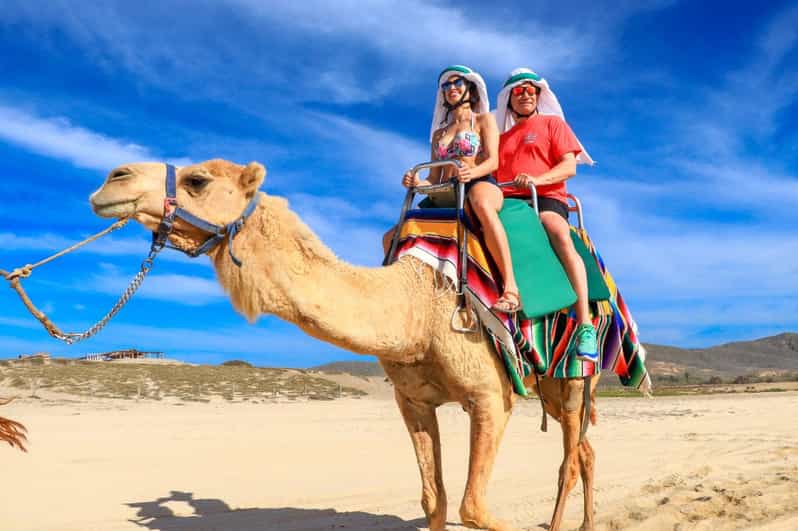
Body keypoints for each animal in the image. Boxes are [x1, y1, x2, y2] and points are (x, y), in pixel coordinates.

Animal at [89, 159, 602, 531]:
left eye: (197, 180)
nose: (112, 180)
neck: (416, 303)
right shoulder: (413, 401)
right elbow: (433, 500)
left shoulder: (489, 396)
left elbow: (474, 508)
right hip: (549, 385)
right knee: (583, 452)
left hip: (576, 376)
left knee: (569, 459)